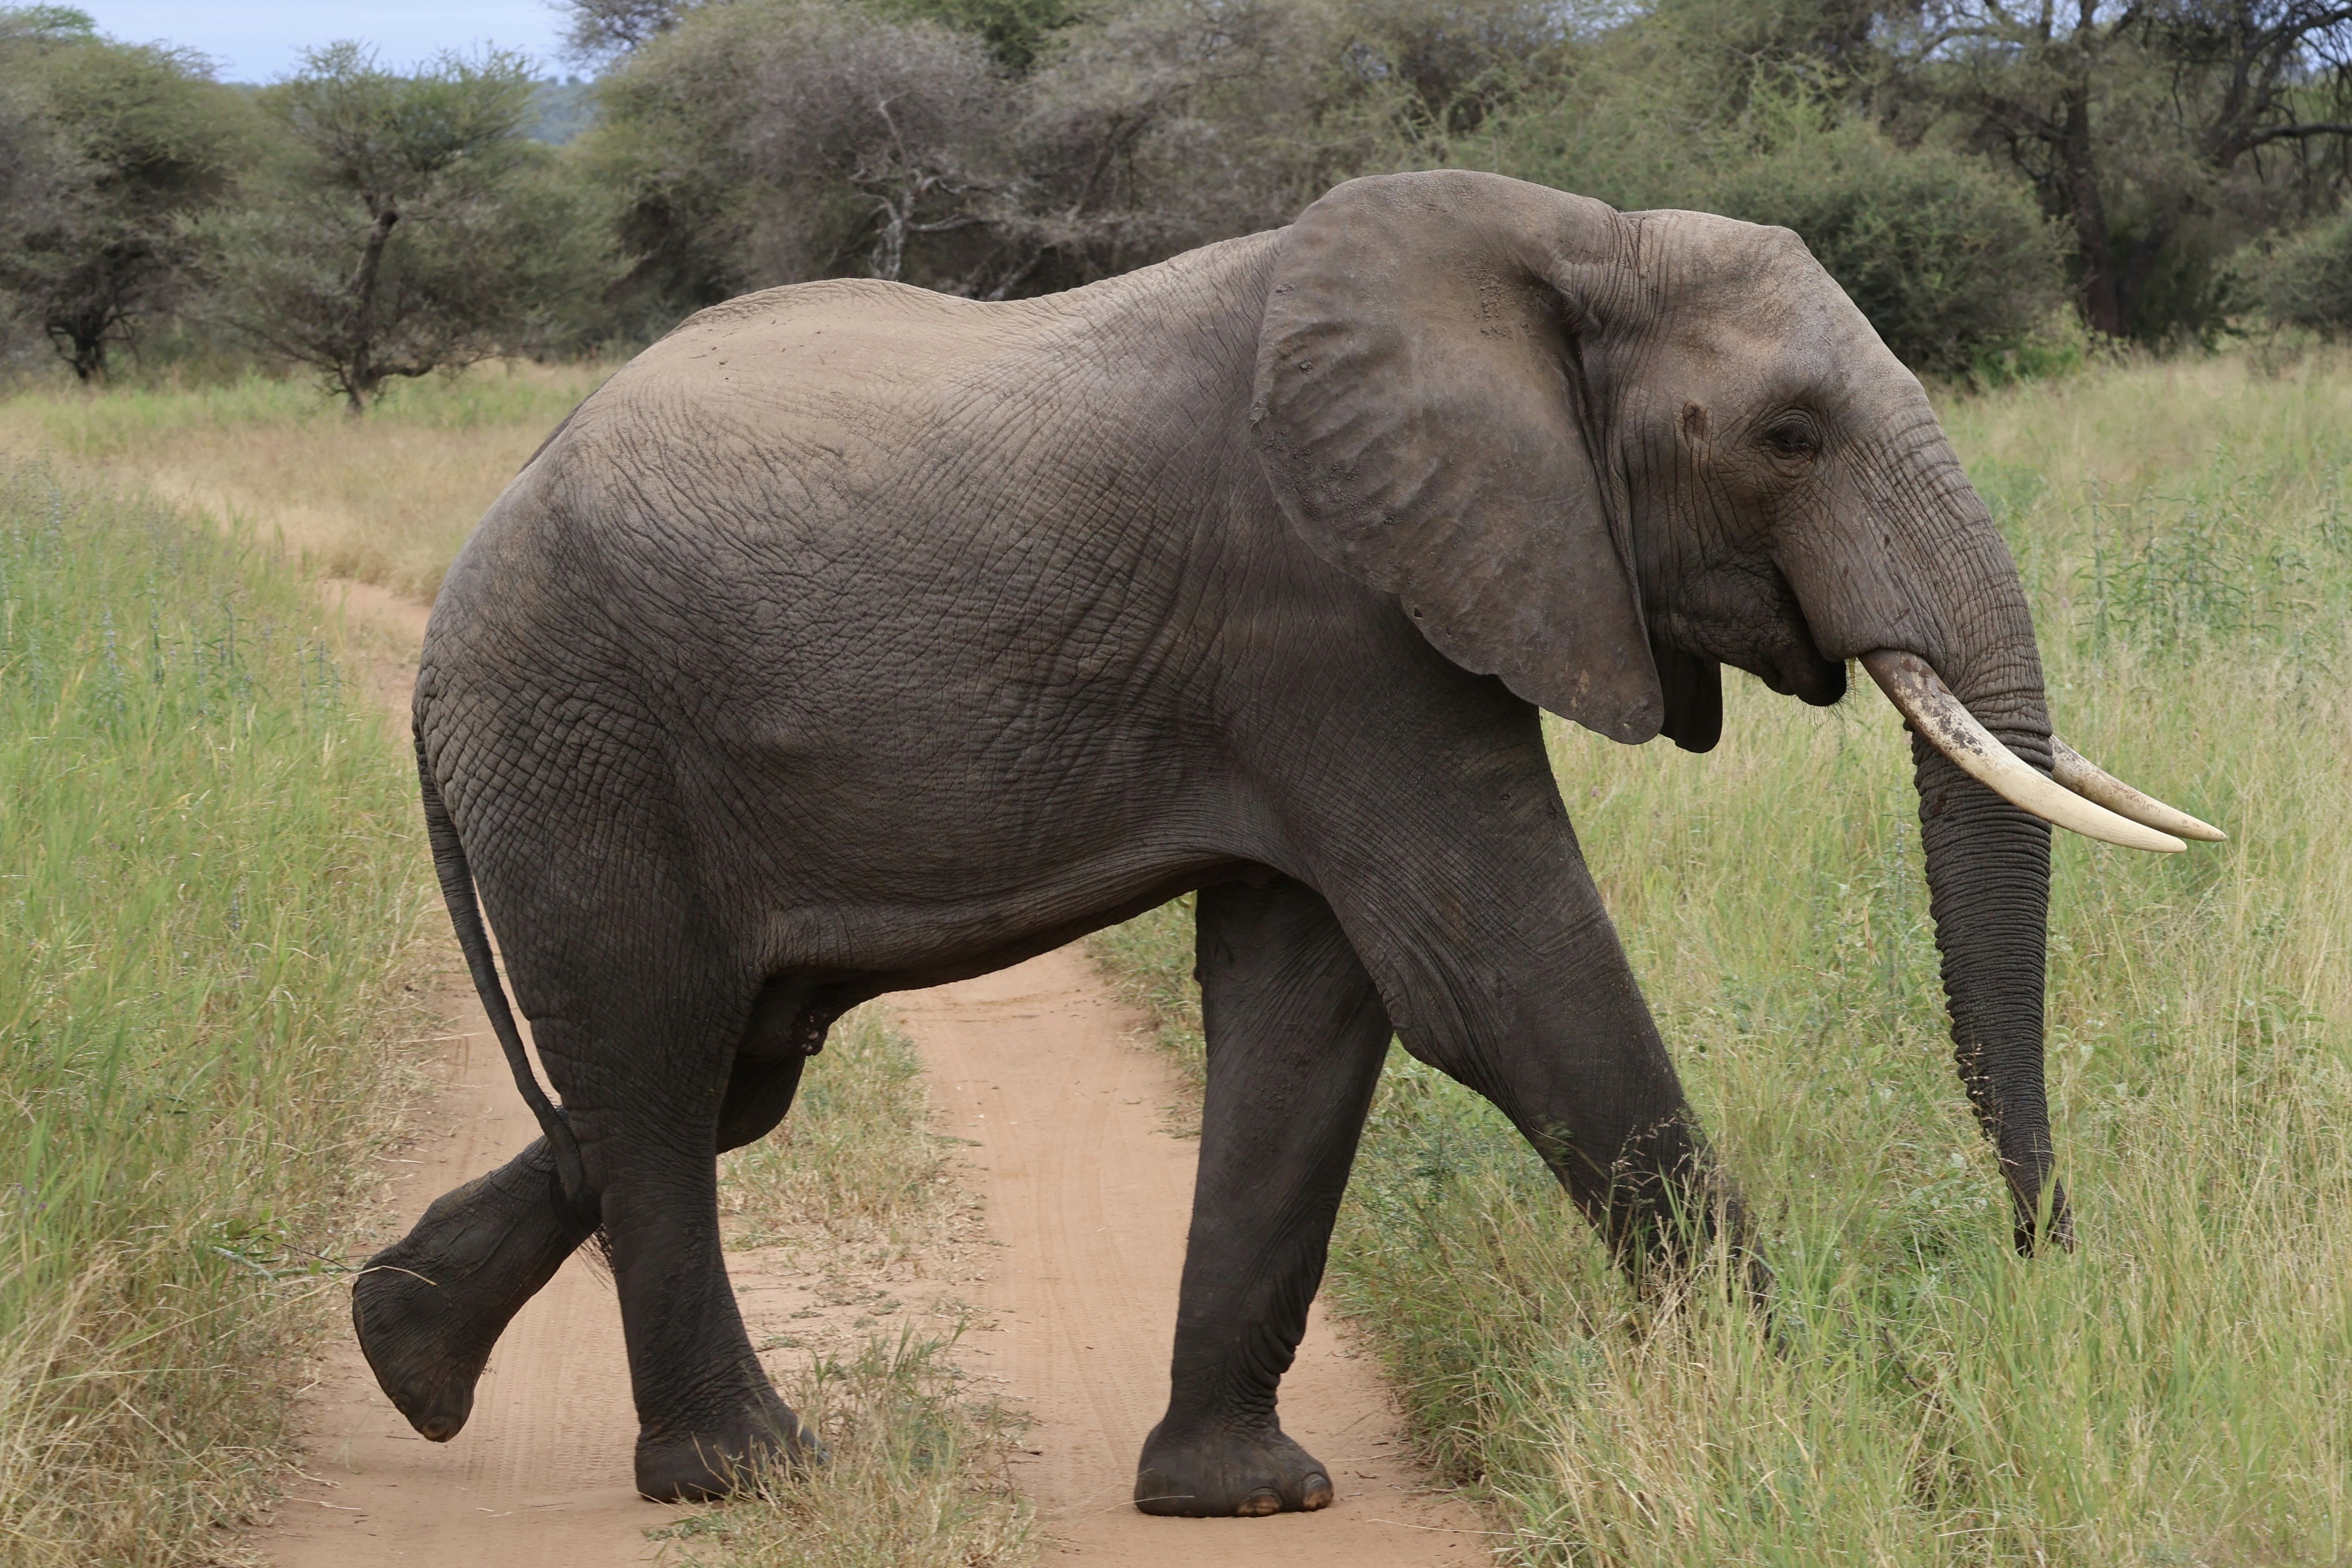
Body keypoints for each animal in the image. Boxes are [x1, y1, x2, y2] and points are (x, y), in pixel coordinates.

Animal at [352, 170, 2222, 1512]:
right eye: (1787, 435)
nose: (2045, 1276)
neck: (1563, 239)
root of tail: (446, 624)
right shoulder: (1336, 611)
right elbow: (1500, 975)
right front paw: (1819, 1413)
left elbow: (1313, 1007)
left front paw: (1237, 1496)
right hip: (588, 754)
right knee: (662, 1070)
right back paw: (751, 1477)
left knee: (708, 1078)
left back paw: (403, 1354)